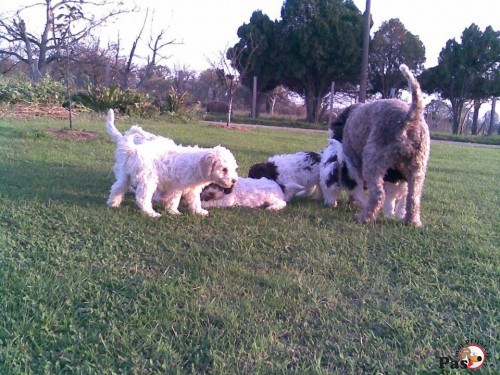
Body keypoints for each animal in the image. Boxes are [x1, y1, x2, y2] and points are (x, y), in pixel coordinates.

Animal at [105, 109, 238, 217]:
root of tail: (133, 148)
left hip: (125, 175)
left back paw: (113, 203)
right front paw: (174, 212)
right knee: (142, 198)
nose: (234, 181)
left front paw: (199, 211)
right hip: (148, 179)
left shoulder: (193, 188)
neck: (198, 165)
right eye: (224, 169)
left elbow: (195, 201)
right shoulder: (177, 186)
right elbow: (174, 200)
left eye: (233, 169)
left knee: (117, 187)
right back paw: (151, 213)